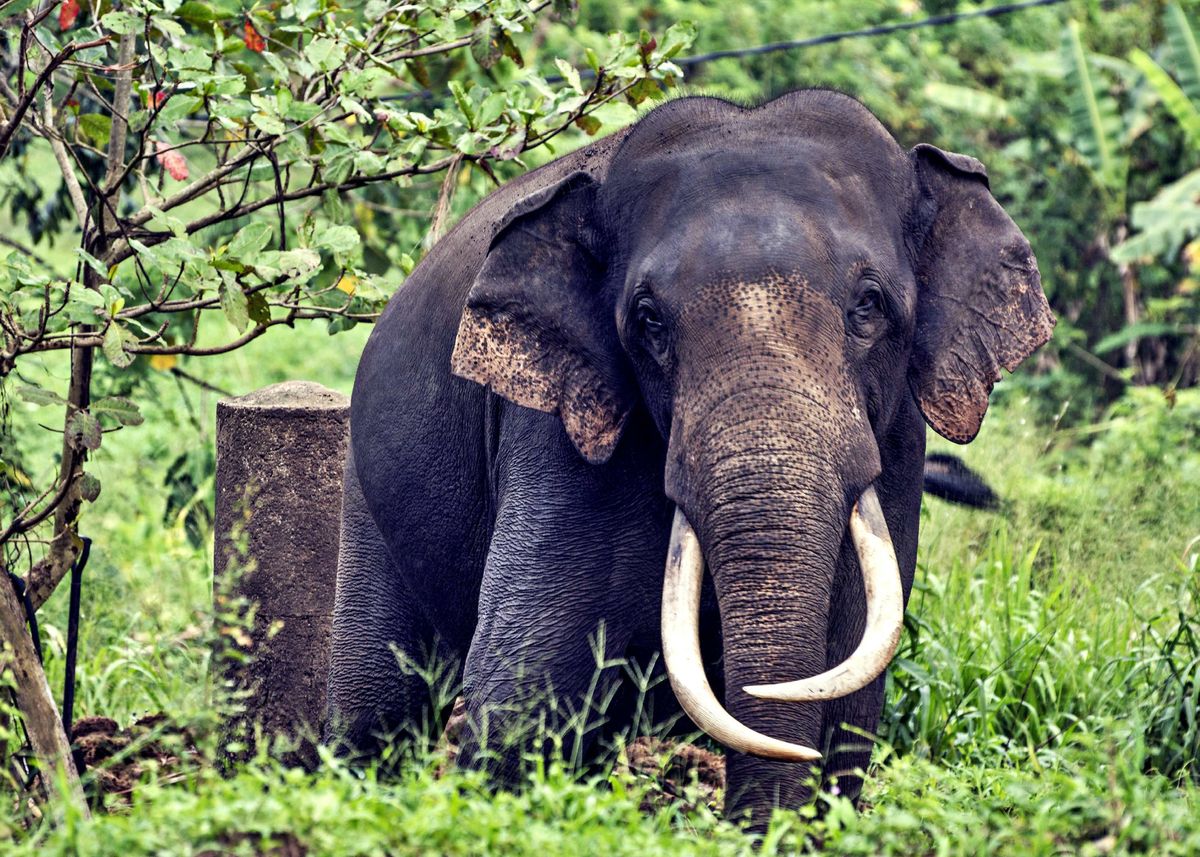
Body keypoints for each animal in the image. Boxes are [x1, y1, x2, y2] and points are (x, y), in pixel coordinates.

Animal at [323, 89, 1054, 827]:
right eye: (649, 320)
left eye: (869, 305)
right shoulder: (558, 435)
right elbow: (525, 689)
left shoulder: (899, 434)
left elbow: (849, 684)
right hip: (366, 486)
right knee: (376, 703)